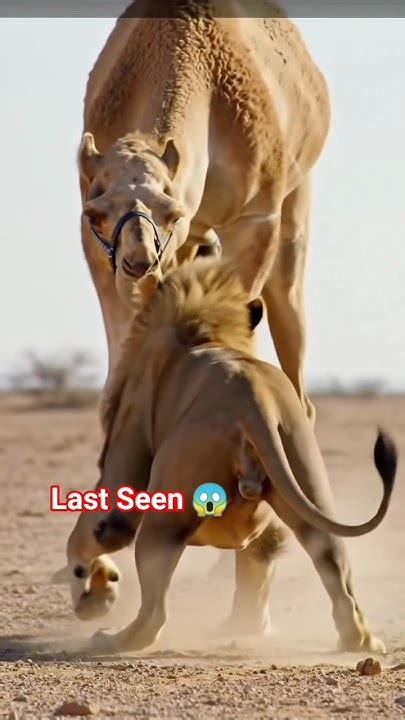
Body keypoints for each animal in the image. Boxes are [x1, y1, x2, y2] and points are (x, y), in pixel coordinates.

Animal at [65, 258, 397, 655]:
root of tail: (256, 404)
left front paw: (88, 593)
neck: (205, 329)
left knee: (154, 613)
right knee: (334, 566)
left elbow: (91, 532)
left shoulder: (125, 452)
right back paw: (363, 641)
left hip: (165, 513)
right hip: (307, 480)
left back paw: (109, 638)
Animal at [78, 0, 330, 426]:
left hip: (295, 192)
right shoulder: (96, 242)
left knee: (287, 296)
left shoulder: (255, 217)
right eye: (96, 214)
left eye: (172, 212)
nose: (137, 261)